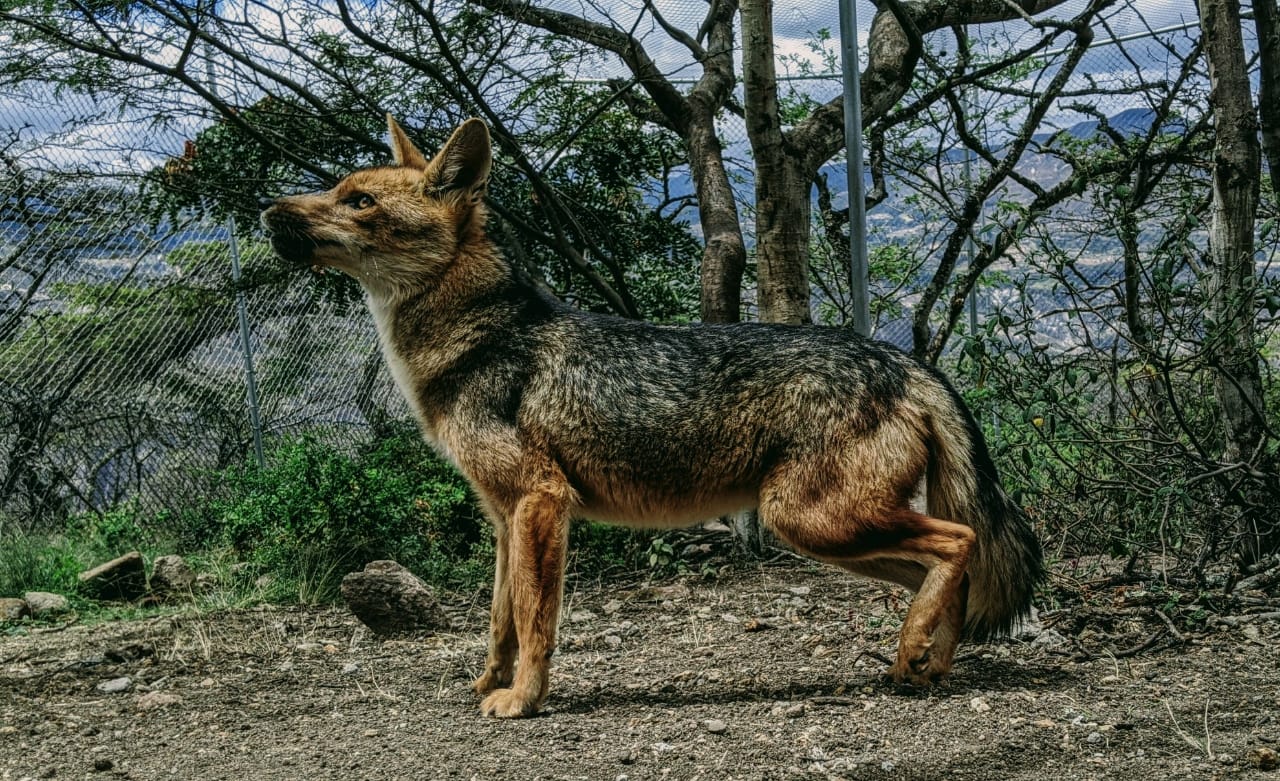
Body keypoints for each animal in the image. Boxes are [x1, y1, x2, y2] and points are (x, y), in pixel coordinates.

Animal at [260, 116, 1043, 718]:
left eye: (358, 199)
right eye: (335, 190)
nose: (269, 210)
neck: (479, 340)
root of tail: (902, 359)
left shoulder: (541, 503)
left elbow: (535, 621)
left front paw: (523, 700)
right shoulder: (503, 516)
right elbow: (499, 622)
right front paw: (489, 684)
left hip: (810, 520)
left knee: (960, 540)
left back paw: (916, 654)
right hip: (824, 532)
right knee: (945, 572)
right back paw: (925, 663)